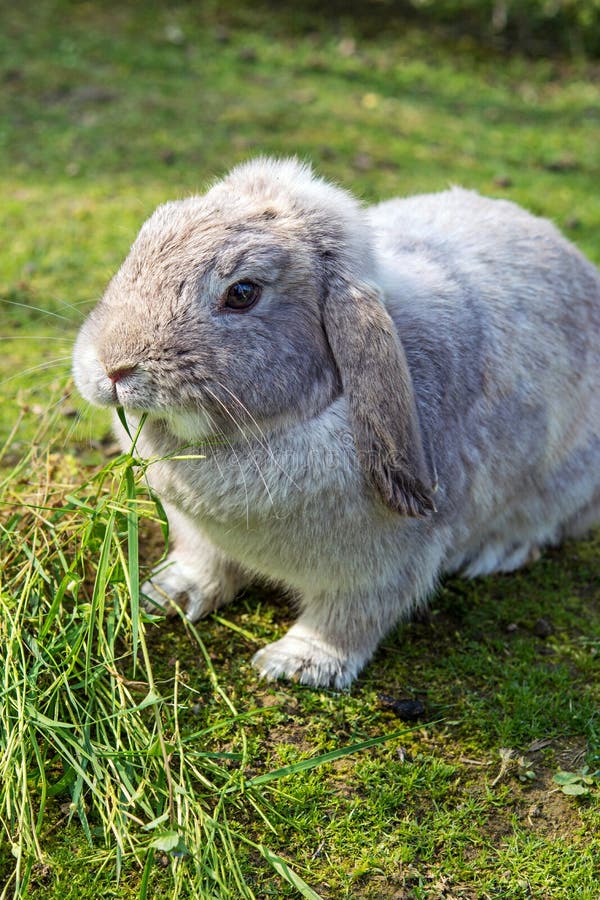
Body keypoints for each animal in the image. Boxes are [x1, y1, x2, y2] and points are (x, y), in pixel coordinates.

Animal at [73, 157, 600, 689]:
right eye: (140, 247)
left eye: (242, 293)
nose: (112, 367)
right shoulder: (197, 534)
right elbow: (203, 563)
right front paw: (167, 595)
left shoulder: (381, 572)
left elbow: (345, 622)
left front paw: (297, 664)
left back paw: (496, 552)